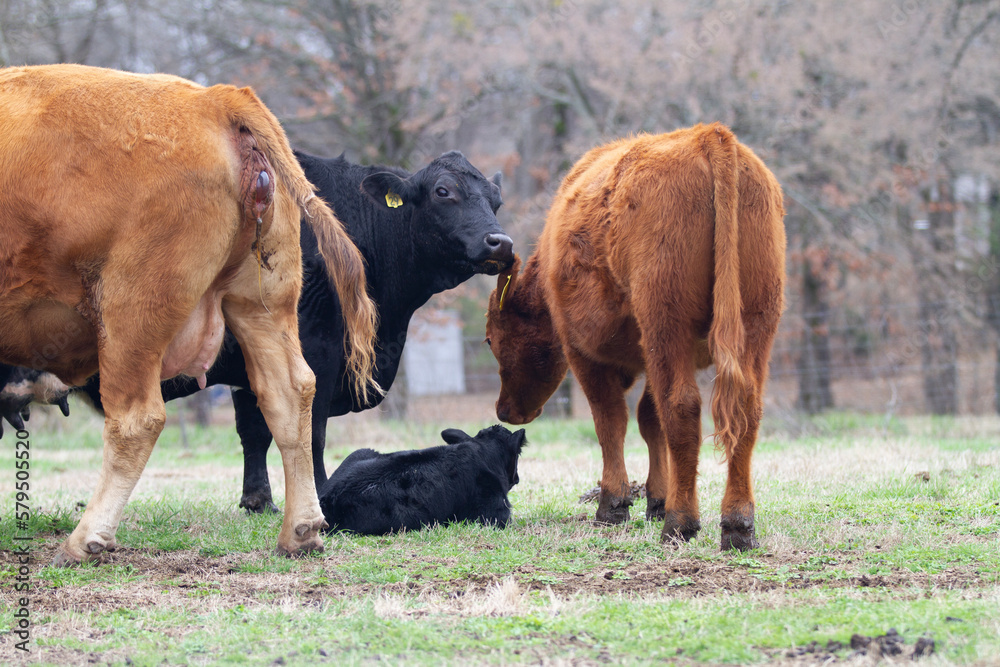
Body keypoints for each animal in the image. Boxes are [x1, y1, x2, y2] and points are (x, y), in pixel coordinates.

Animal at [0, 64, 379, 565]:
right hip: (261, 305)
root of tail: (215, 100)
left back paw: (85, 541)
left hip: (130, 315)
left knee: (137, 420)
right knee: (289, 394)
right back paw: (300, 532)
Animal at [75, 150, 513, 513]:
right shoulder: (316, 350)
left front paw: (257, 501)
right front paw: (316, 494)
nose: (501, 242)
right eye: (443, 192)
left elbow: (252, 430)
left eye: (496, 200)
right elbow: (311, 430)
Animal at [485, 123, 786, 551]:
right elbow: (649, 419)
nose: (505, 411)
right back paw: (737, 525)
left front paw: (614, 504)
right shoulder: (653, 356)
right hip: (756, 321)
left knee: (681, 408)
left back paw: (680, 522)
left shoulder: (583, 353)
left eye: (491, 340)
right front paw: (656, 498)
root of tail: (709, 136)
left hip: (667, 322)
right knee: (745, 410)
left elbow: (610, 420)